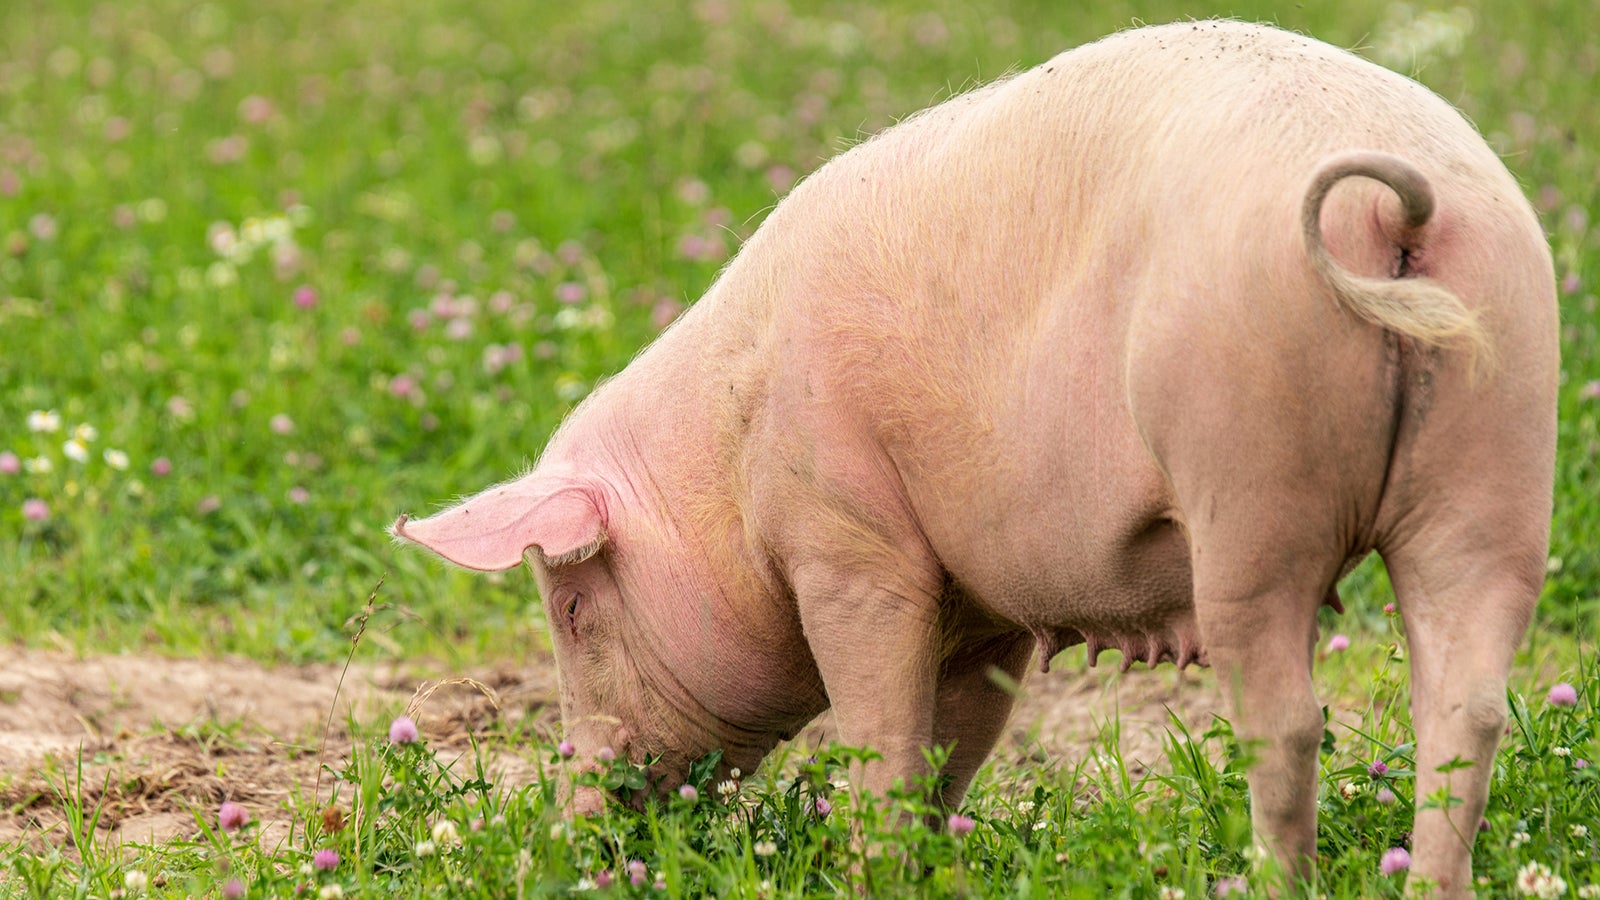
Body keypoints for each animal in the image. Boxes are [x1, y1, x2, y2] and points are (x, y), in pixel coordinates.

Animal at [393, 20, 1556, 895]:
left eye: (571, 605)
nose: (571, 824)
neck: (724, 458)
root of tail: (1390, 202)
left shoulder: (847, 542)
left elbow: (880, 734)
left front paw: (865, 870)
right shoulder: (983, 605)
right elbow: (955, 744)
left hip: (1247, 469)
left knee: (1289, 721)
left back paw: (1274, 880)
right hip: (1500, 450)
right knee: (1465, 707)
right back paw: (1429, 883)